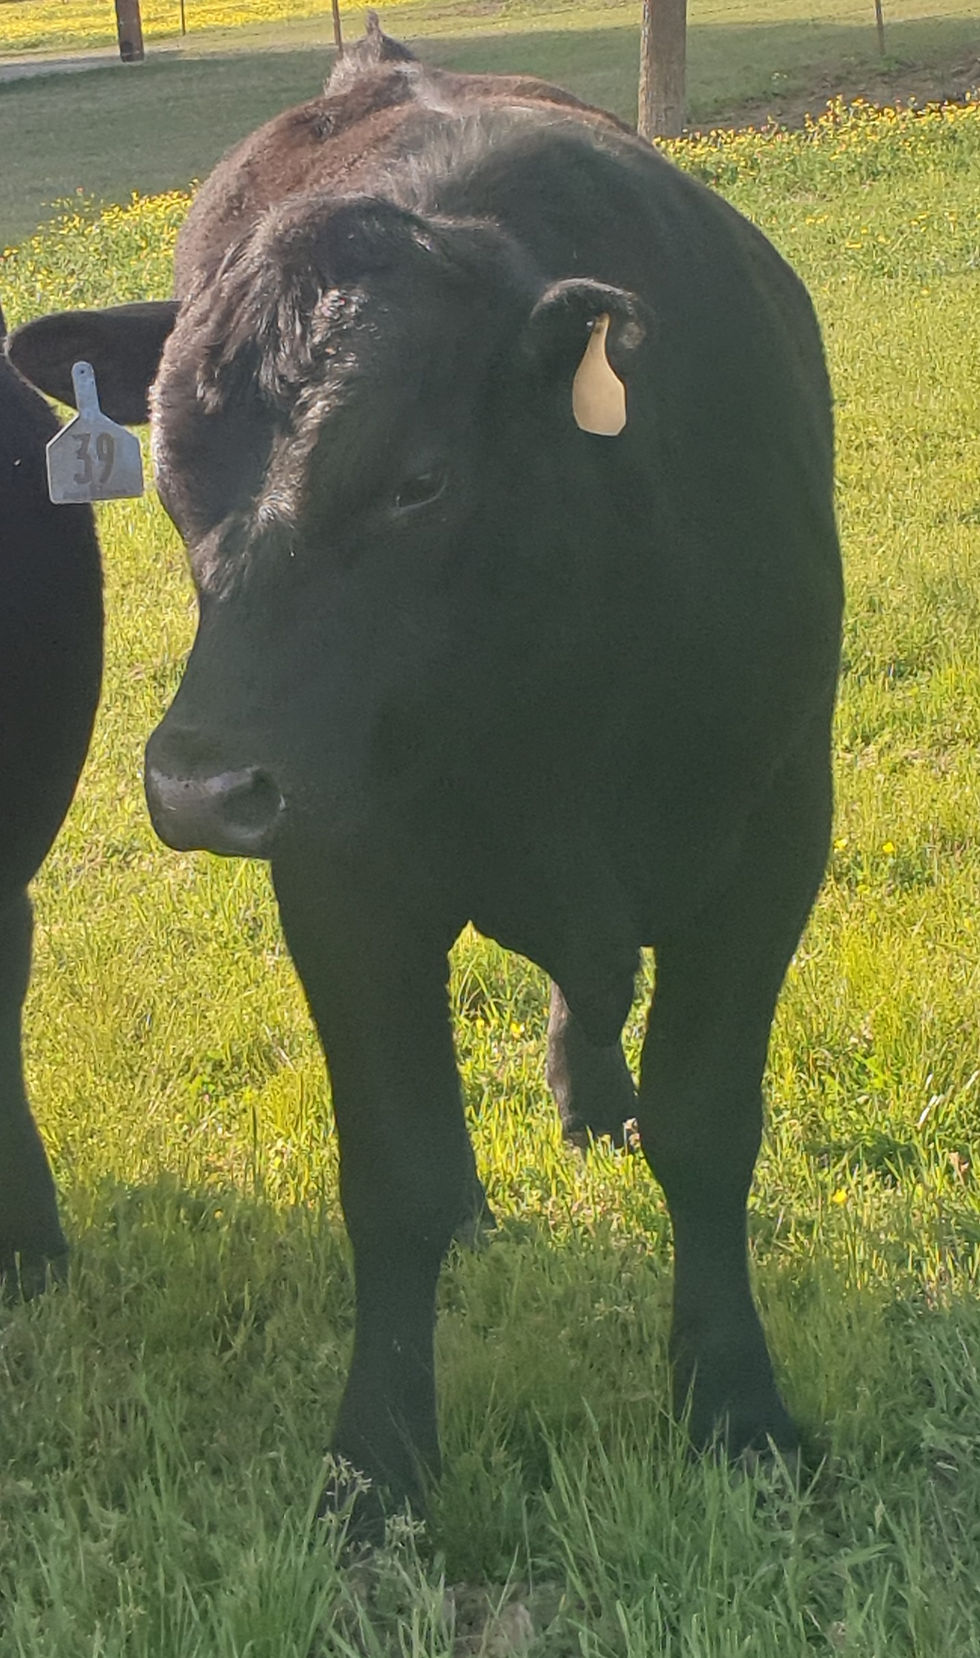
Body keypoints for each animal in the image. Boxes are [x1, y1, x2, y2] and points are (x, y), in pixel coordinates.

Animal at [7, 22, 843, 1534]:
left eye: (416, 481)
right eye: (171, 480)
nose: (197, 785)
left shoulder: (769, 834)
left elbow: (707, 1126)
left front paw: (737, 1409)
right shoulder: (339, 869)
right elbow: (392, 1172)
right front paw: (375, 1462)